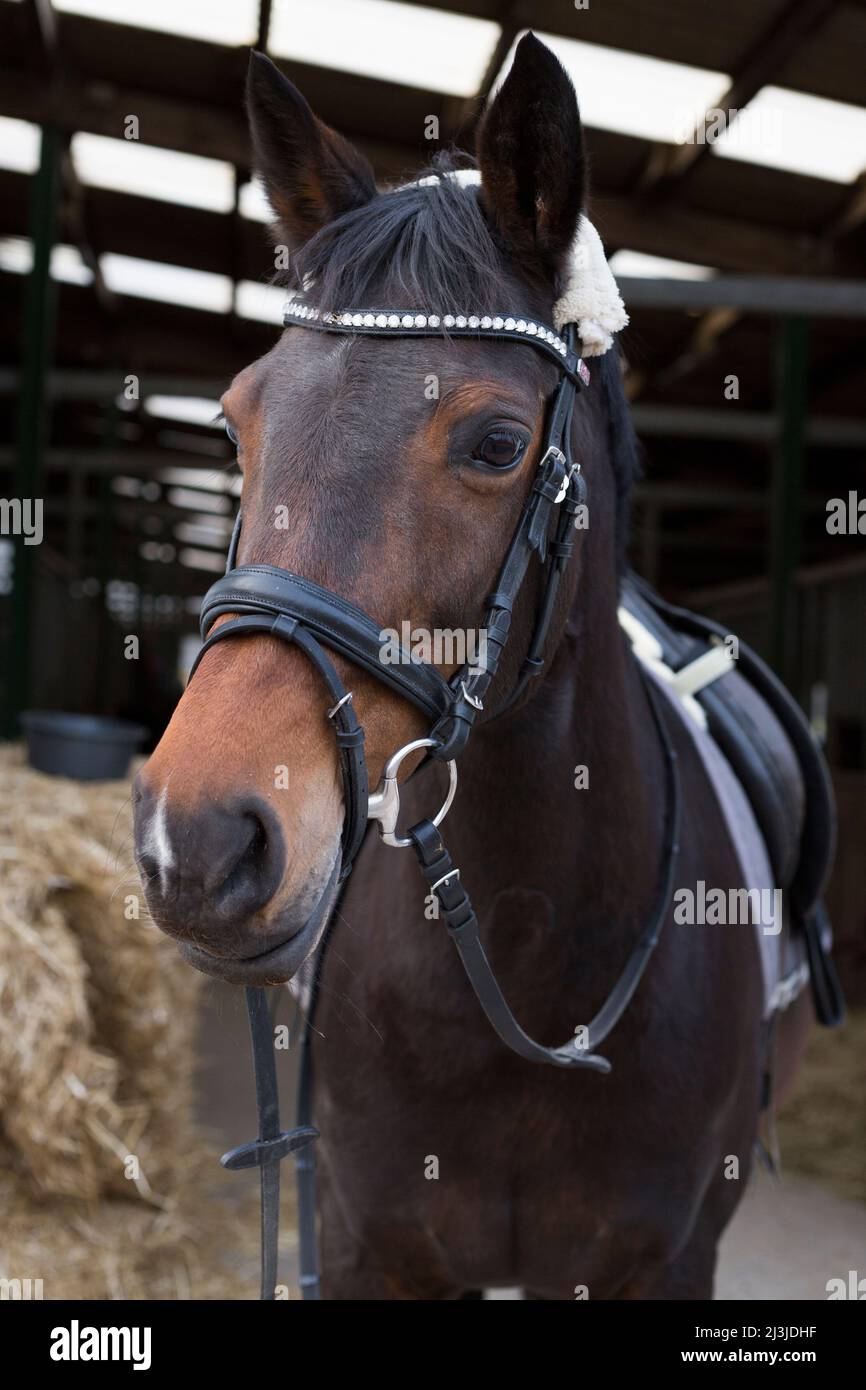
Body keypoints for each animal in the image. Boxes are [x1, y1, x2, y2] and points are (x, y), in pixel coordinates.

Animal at [133, 35, 815, 1299]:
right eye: (236, 423)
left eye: (497, 444)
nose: (193, 840)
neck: (525, 941)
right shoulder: (365, 1245)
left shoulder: (661, 1260)